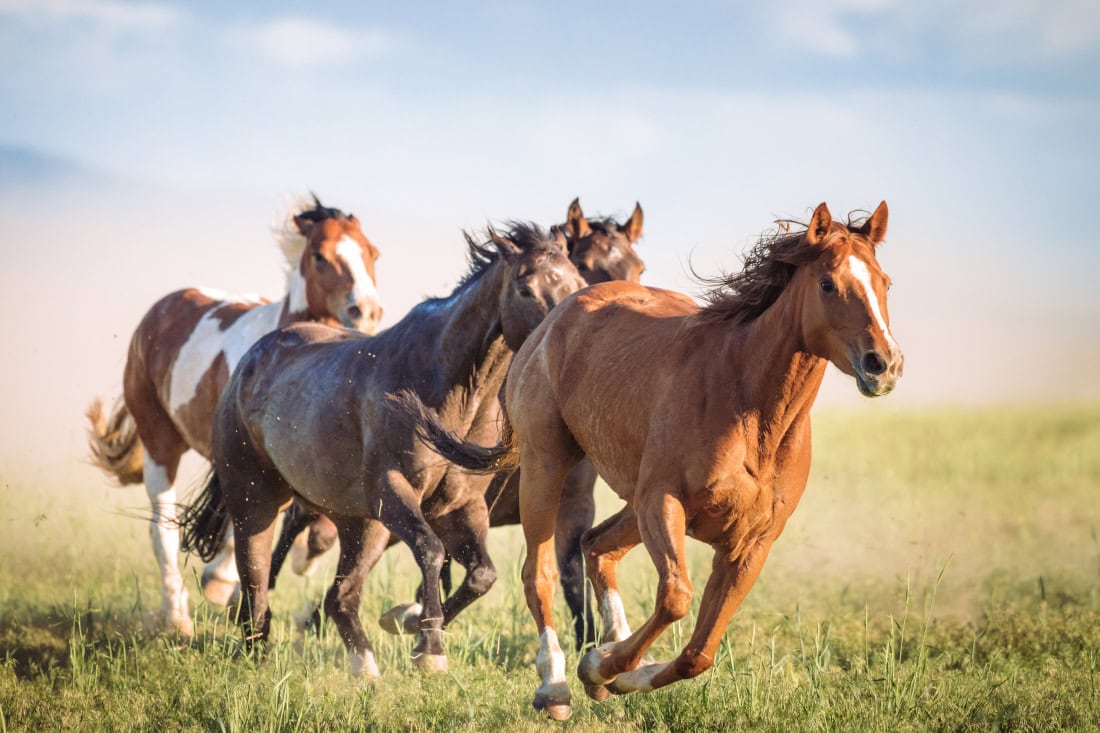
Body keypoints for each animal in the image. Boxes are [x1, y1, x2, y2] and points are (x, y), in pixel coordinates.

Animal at [86, 195, 383, 637]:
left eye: (372, 253)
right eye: (320, 256)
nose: (366, 310)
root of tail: (162, 308)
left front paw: (302, 558)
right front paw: (223, 586)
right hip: (160, 442)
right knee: (163, 528)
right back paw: (177, 617)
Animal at [179, 223, 587, 677]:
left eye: (577, 281)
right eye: (525, 287)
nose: (565, 337)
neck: (445, 390)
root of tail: (248, 364)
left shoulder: (462, 506)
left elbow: (482, 574)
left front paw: (412, 624)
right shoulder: (391, 492)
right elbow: (431, 551)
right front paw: (429, 648)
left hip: (358, 525)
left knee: (340, 598)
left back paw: (365, 667)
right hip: (258, 500)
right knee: (257, 577)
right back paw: (257, 652)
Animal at [397, 201, 902, 719]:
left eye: (884, 283)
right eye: (828, 283)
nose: (883, 364)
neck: (750, 410)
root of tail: (554, 320)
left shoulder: (752, 542)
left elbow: (699, 653)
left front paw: (612, 669)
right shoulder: (664, 503)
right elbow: (676, 597)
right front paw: (599, 666)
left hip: (627, 504)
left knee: (596, 546)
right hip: (548, 467)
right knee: (539, 573)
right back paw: (554, 685)